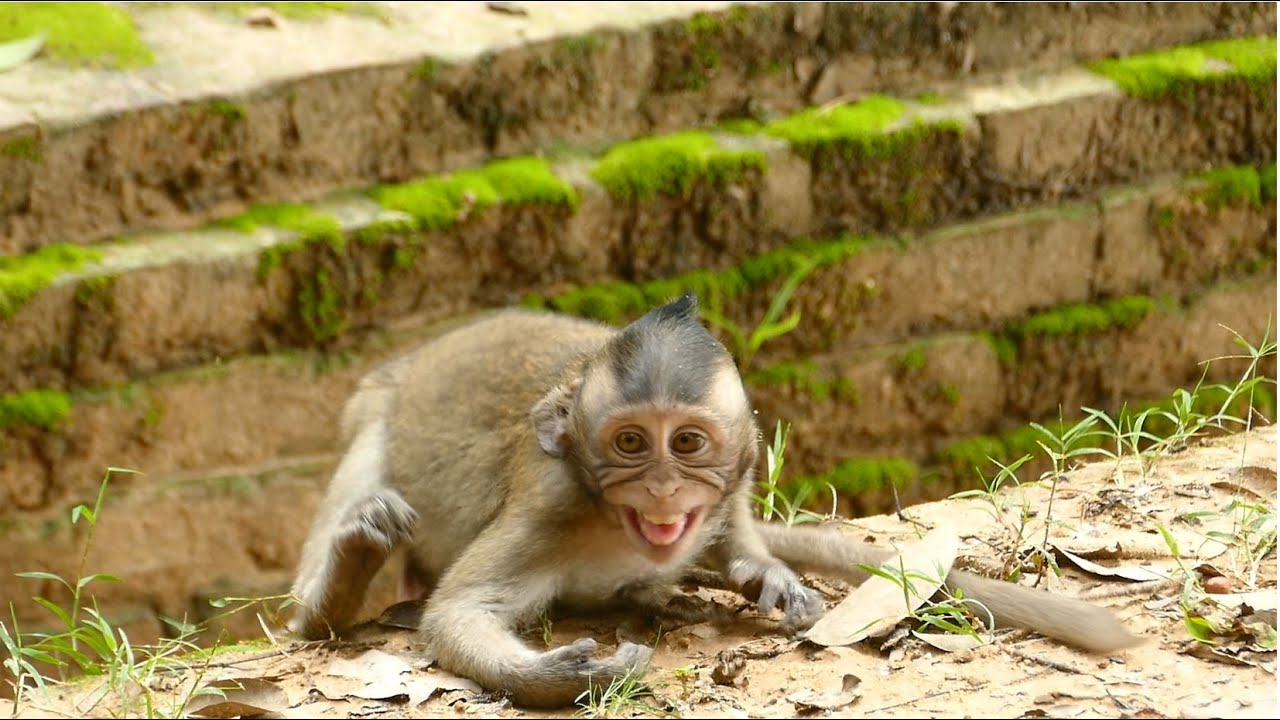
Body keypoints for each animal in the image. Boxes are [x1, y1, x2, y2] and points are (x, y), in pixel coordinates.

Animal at [288, 294, 1138, 708]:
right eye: (632, 444)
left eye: (688, 444)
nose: (663, 487)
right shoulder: (550, 502)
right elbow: (458, 613)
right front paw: (562, 678)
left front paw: (764, 574)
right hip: (377, 401)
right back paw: (339, 580)